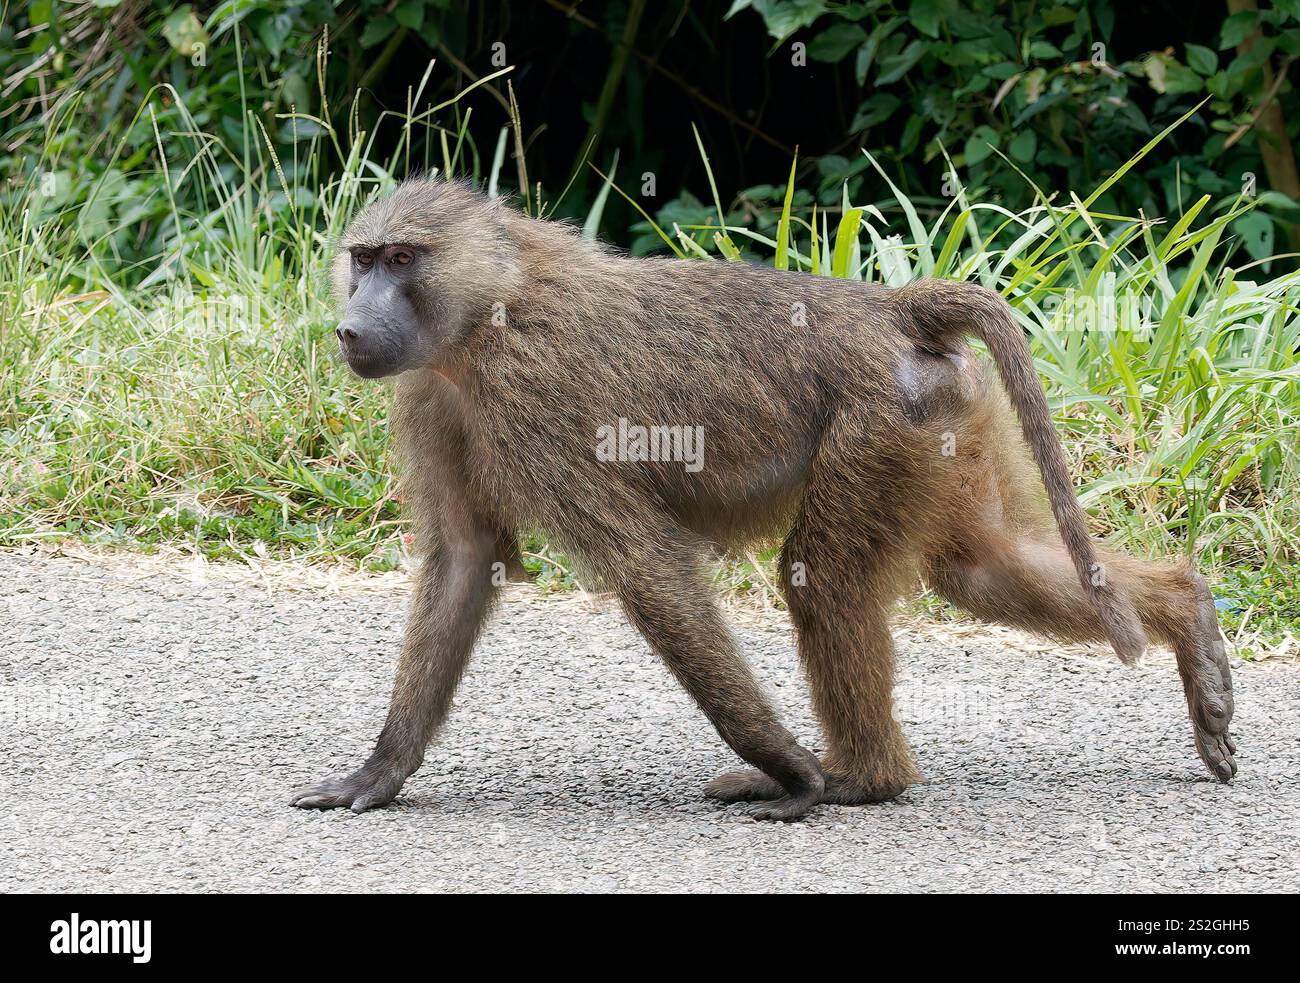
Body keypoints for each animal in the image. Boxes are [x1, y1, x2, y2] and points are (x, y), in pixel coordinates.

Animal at [289, 179, 1235, 821]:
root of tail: (893, 310)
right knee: (982, 567)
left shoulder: (532, 398)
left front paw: (788, 764)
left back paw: (858, 779)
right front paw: (379, 772)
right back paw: (1190, 615)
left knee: (826, 578)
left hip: (877, 423)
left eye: (403, 260)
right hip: (942, 421)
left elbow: (647, 567)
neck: (493, 304)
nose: (350, 327)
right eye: (362, 260)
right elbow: (461, 560)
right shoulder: (433, 394)